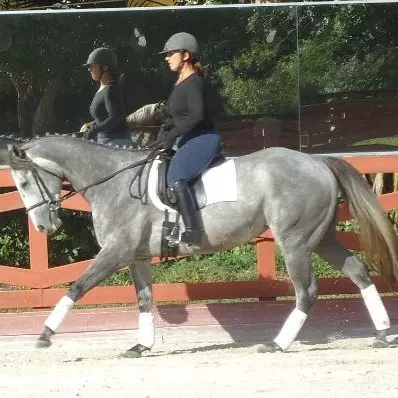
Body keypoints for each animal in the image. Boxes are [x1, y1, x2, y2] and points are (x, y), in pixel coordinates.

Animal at [3, 135, 398, 356]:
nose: (44, 226)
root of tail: (317, 161)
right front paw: (141, 346)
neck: (112, 182)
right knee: (359, 272)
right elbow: (144, 299)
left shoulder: (115, 252)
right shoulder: (136, 256)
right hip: (321, 237)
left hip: (295, 240)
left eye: (24, 181)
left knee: (307, 290)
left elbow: (77, 287)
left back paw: (277, 343)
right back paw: (382, 334)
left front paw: (44, 335)